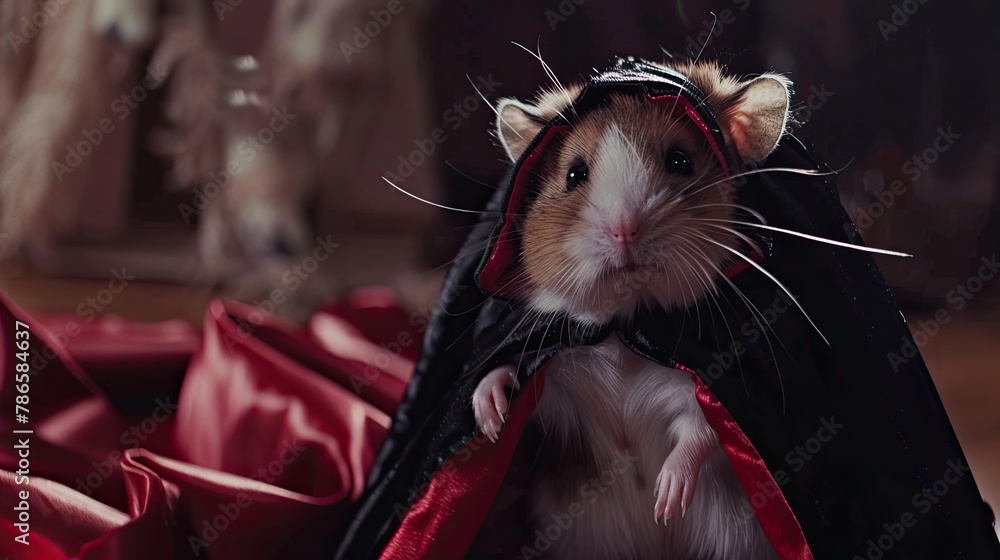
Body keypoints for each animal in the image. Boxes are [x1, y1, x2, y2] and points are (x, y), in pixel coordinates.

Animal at [472, 60, 791, 559]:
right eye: (574, 175)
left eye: (680, 160)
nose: (624, 230)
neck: (623, 331)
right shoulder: (558, 388)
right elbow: (518, 376)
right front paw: (490, 416)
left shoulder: (702, 390)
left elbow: (703, 430)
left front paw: (667, 499)